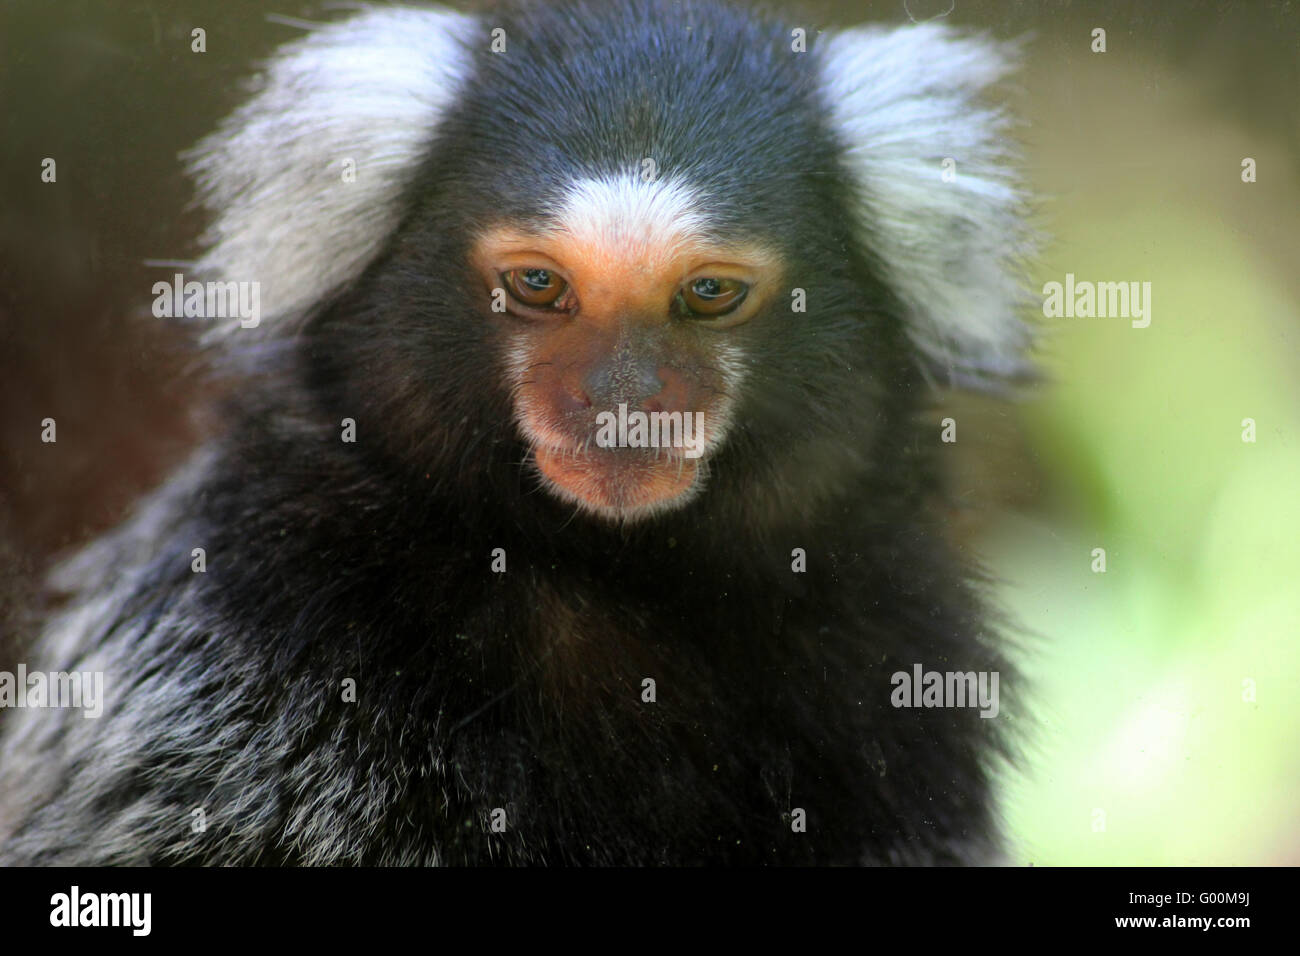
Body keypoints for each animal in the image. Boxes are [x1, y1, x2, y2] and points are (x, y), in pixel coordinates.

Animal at [0, 0, 1033, 865]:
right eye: (539, 285)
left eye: (709, 293)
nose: (622, 400)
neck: (602, 580)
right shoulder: (232, 647)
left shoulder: (899, 667)